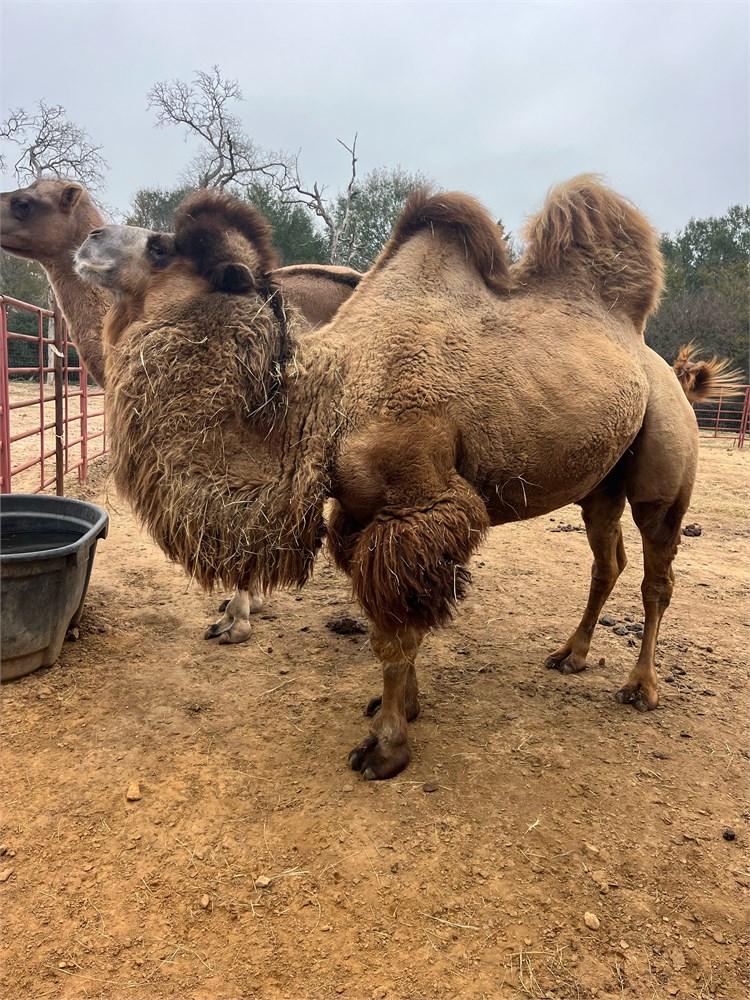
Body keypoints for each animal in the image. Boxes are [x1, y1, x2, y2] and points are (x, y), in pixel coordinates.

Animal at [73, 178, 736, 780]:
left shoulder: (416, 506)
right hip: (599, 480)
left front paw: (385, 748)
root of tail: (659, 361)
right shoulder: (357, 512)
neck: (324, 401)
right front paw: (406, 707)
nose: (89, 239)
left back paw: (641, 687)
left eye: (161, 247)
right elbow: (390, 624)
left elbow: (395, 635)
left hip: (664, 463)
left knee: (657, 573)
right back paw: (571, 654)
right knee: (607, 558)